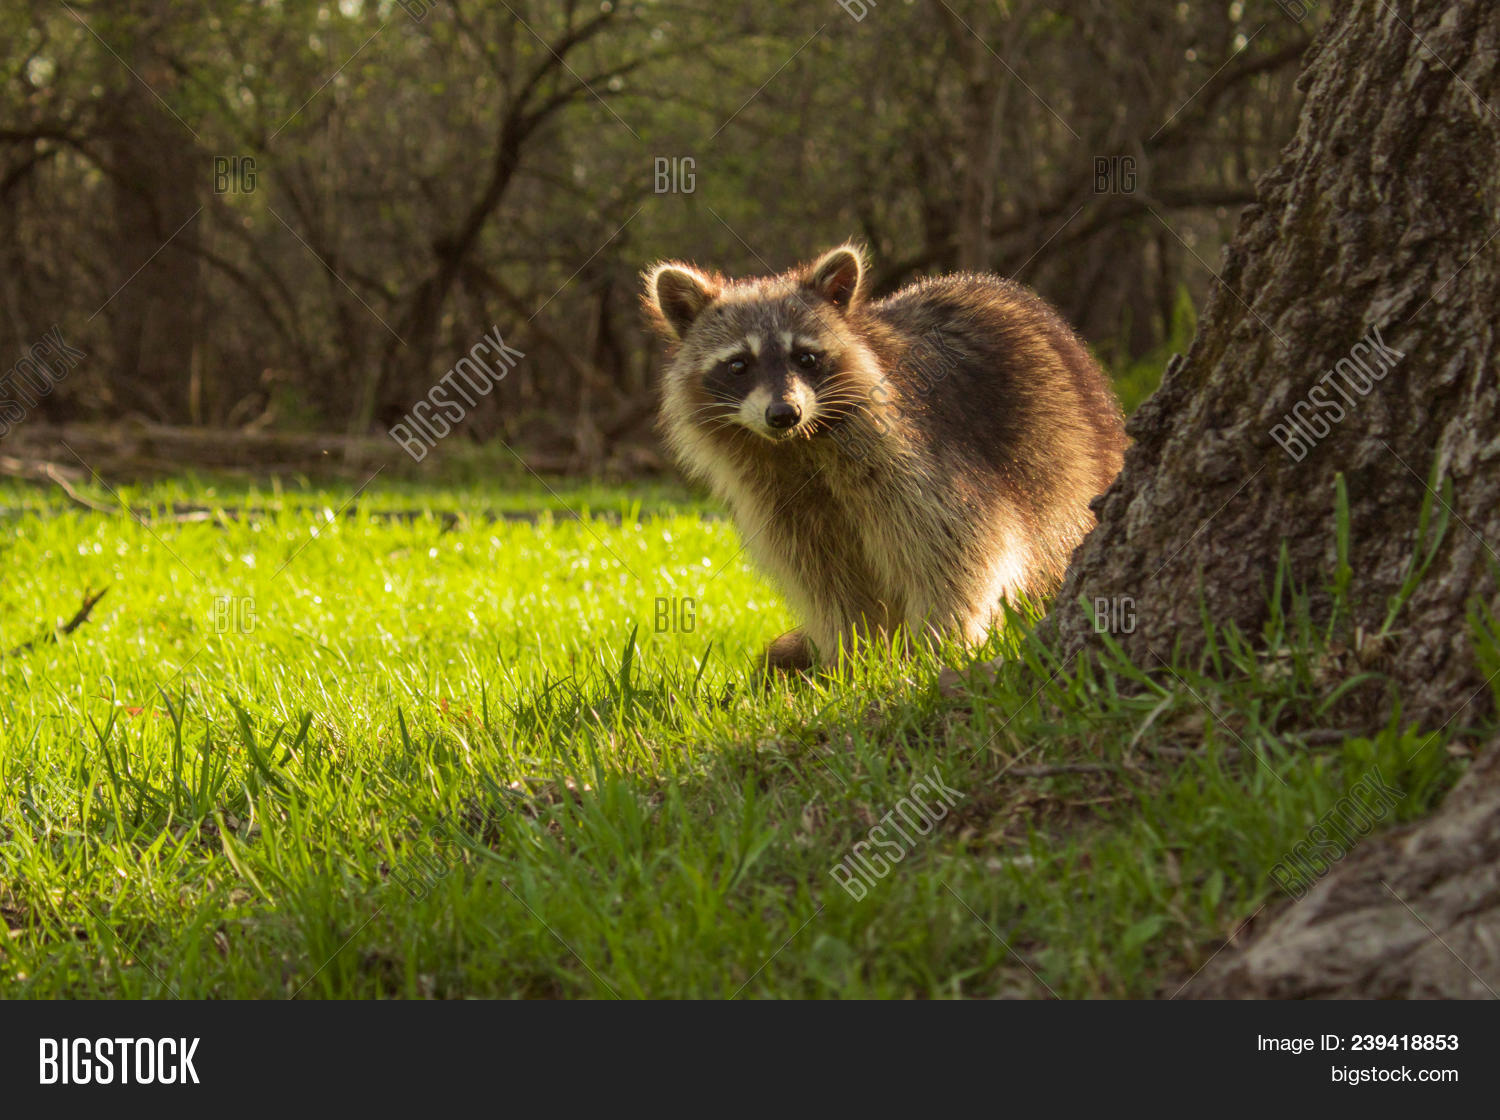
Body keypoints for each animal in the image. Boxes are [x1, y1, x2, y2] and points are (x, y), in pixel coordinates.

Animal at [644, 243, 1126, 670]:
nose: (783, 414)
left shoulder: (919, 454)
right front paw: (853, 655)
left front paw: (938, 643)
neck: (797, 446)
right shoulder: (777, 497)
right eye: (738, 365)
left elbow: (960, 547)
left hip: (1070, 452)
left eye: (806, 357)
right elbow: (825, 578)